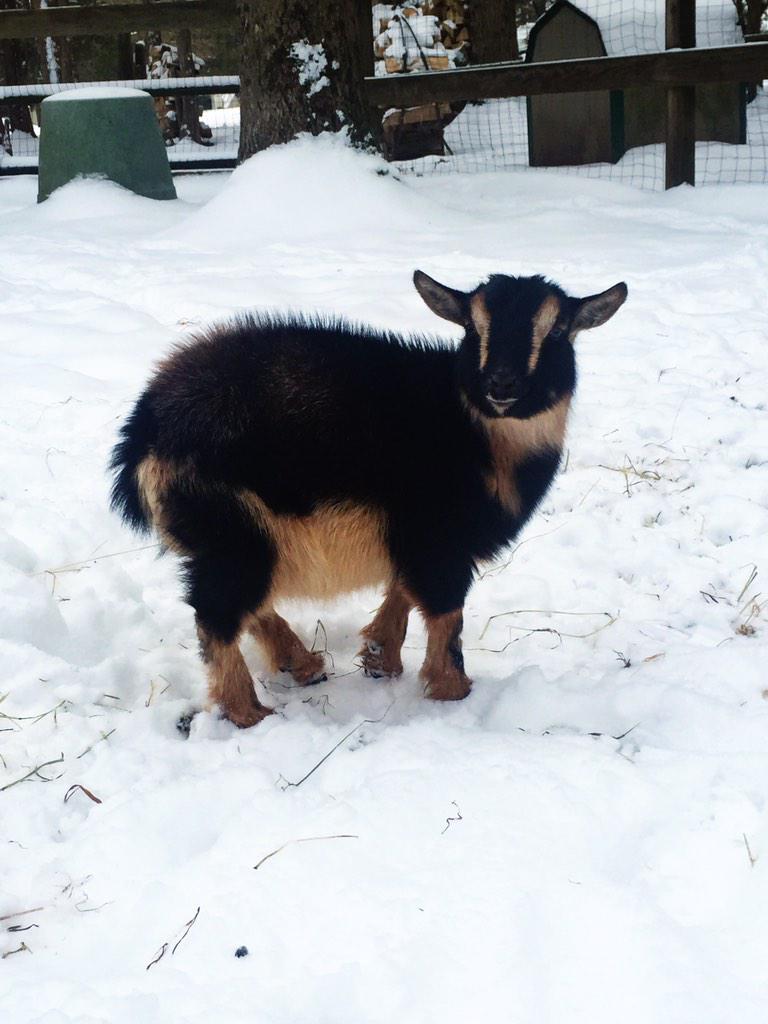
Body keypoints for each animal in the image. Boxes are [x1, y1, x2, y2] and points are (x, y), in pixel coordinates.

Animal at [110, 271, 627, 728]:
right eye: (471, 326)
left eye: (557, 328)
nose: (500, 385)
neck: (475, 432)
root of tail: (143, 432)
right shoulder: (439, 540)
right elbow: (447, 616)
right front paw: (452, 690)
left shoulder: (413, 537)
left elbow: (402, 590)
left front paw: (380, 658)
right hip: (235, 530)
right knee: (216, 614)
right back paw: (250, 712)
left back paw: (301, 665)